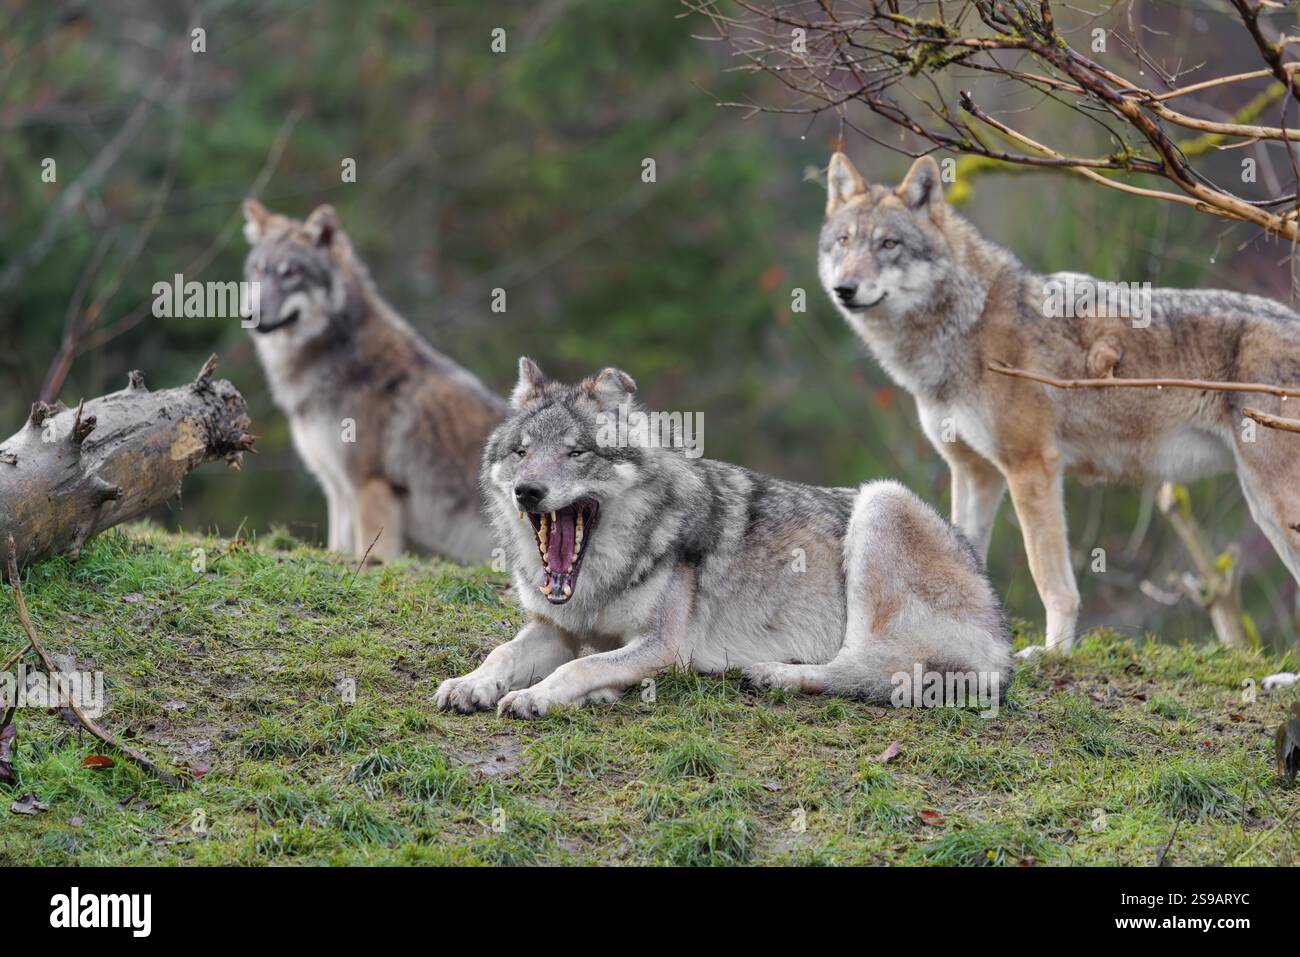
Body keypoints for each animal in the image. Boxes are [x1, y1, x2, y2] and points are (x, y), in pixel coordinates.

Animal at [242, 200, 506, 564]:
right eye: (259, 270)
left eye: (291, 273)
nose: (249, 314)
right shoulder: (338, 489)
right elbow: (337, 547)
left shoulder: (370, 486)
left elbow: (372, 555)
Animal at [434, 358, 1010, 719]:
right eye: (523, 452)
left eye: (576, 453)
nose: (528, 492)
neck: (598, 580)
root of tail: (1001, 639)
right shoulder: (553, 629)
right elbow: (502, 655)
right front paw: (470, 684)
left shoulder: (664, 646)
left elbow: (584, 665)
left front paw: (542, 697)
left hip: (882, 501)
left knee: (866, 671)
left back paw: (773, 675)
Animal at [818, 151, 1300, 656]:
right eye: (844, 241)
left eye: (888, 244)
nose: (845, 288)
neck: (966, 327)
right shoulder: (974, 471)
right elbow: (959, 553)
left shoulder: (1032, 467)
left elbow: (1050, 578)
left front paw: (1054, 652)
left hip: (1274, 505)